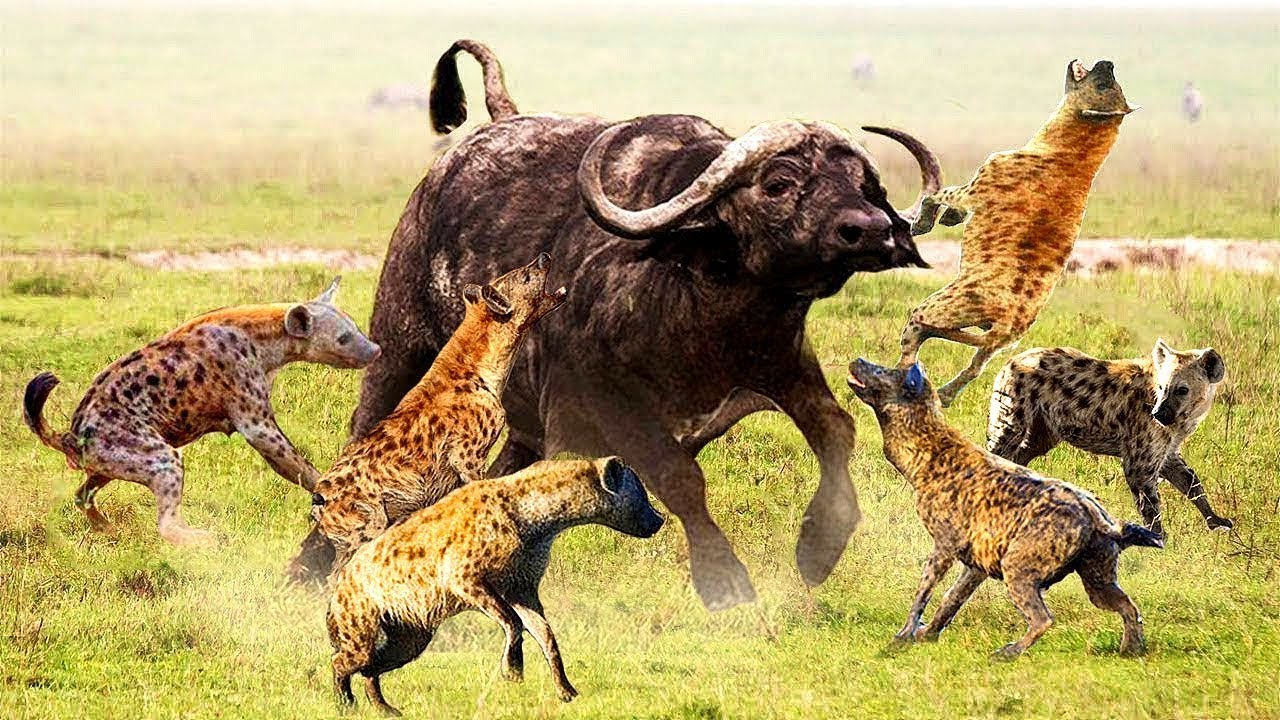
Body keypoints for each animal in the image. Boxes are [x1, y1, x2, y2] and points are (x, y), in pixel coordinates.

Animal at [351, 39, 941, 610]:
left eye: (864, 184)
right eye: (778, 183)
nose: (872, 229)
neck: (711, 315)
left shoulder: (785, 364)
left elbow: (837, 431)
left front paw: (819, 547)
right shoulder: (599, 407)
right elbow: (680, 477)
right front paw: (724, 580)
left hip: (520, 421)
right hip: (398, 342)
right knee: (367, 424)